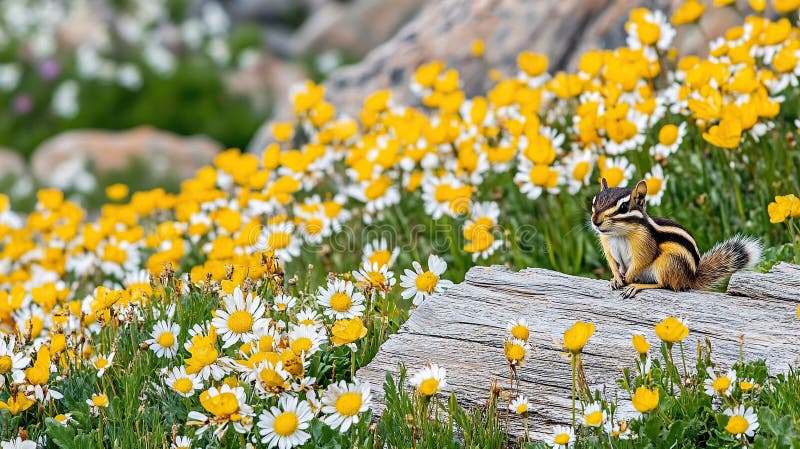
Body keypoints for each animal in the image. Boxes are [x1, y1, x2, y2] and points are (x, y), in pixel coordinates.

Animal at [591, 178, 761, 298]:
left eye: (623, 207)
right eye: (594, 202)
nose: (595, 221)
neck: (617, 234)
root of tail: (689, 279)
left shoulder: (644, 245)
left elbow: (641, 262)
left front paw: (628, 279)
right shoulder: (607, 244)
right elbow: (612, 262)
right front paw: (616, 278)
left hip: (667, 263)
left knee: (666, 285)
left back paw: (637, 285)